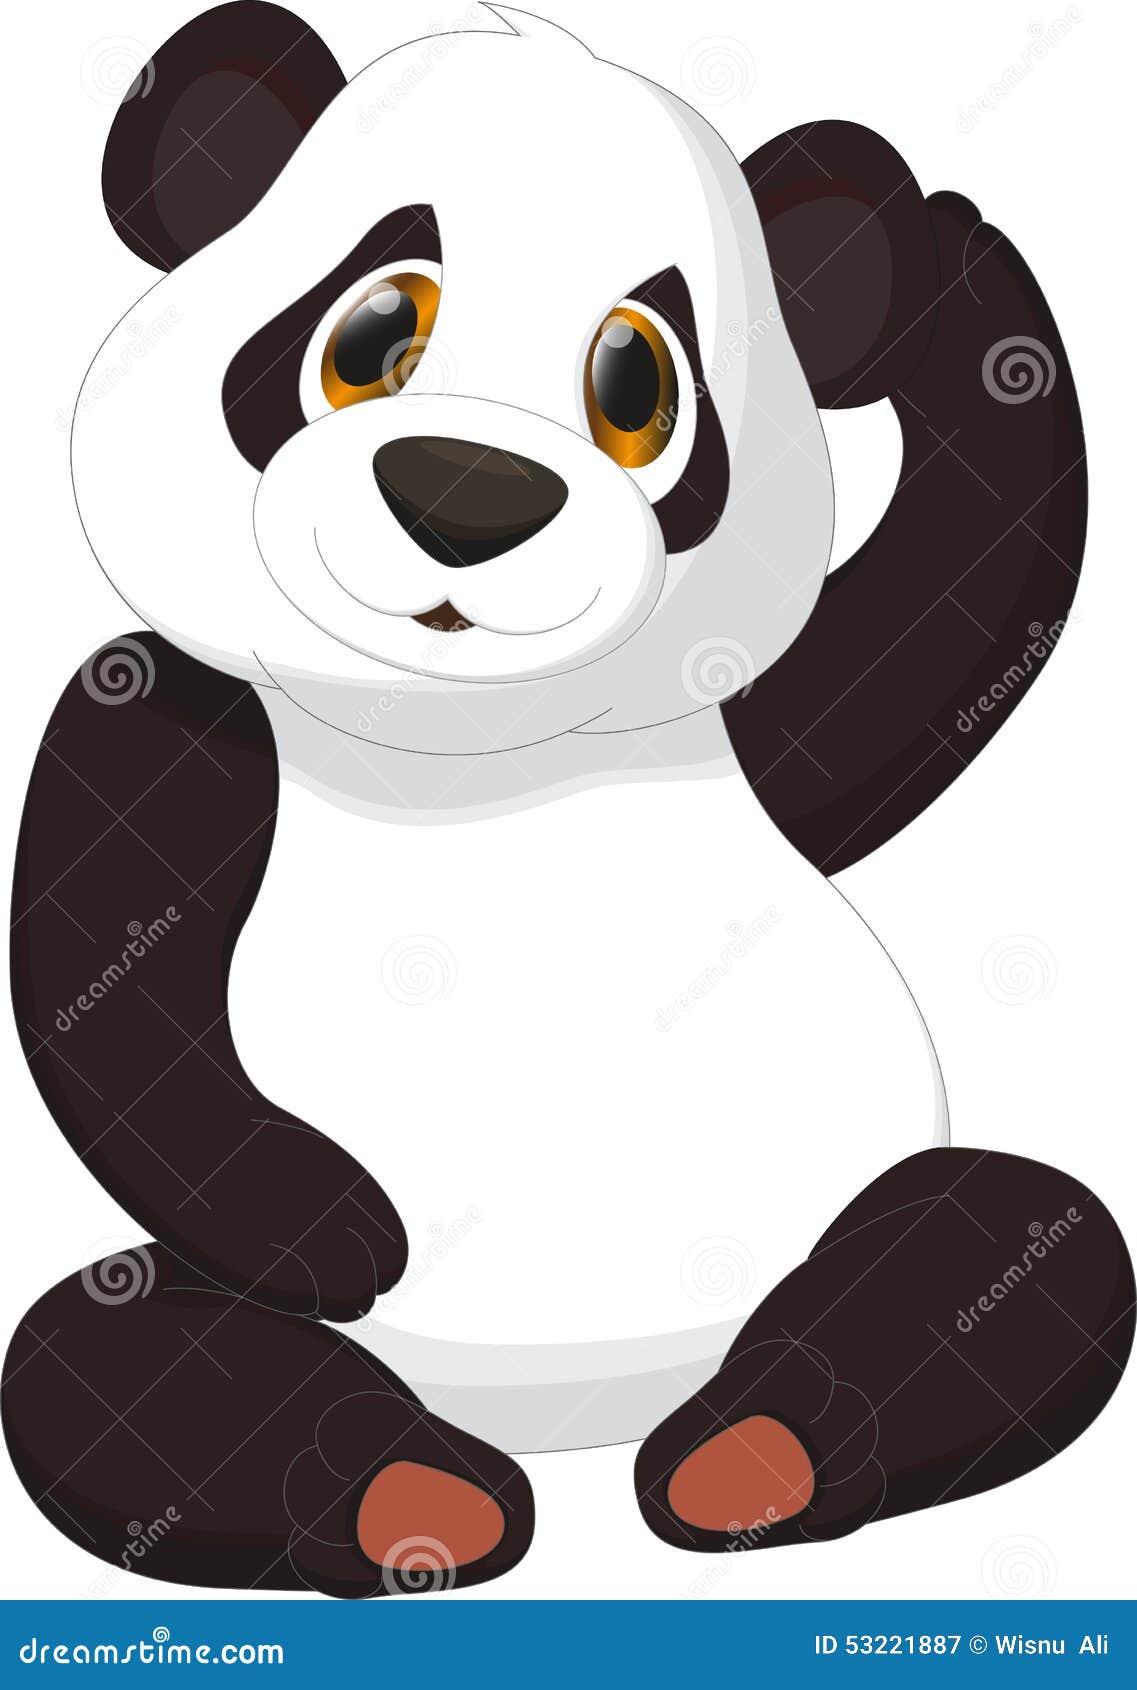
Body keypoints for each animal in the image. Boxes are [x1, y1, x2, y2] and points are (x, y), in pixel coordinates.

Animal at [3, 1, 1132, 1598]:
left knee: (1028, 1236)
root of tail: (587, 1418)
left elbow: (946, 609)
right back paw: (415, 1491)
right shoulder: (156, 717)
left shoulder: (758, 720)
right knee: (97, 1358)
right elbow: (108, 986)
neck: (464, 751)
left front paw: (942, 244)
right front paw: (328, 1225)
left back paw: (748, 1451)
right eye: (369, 336)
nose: (465, 490)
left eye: (636, 389)